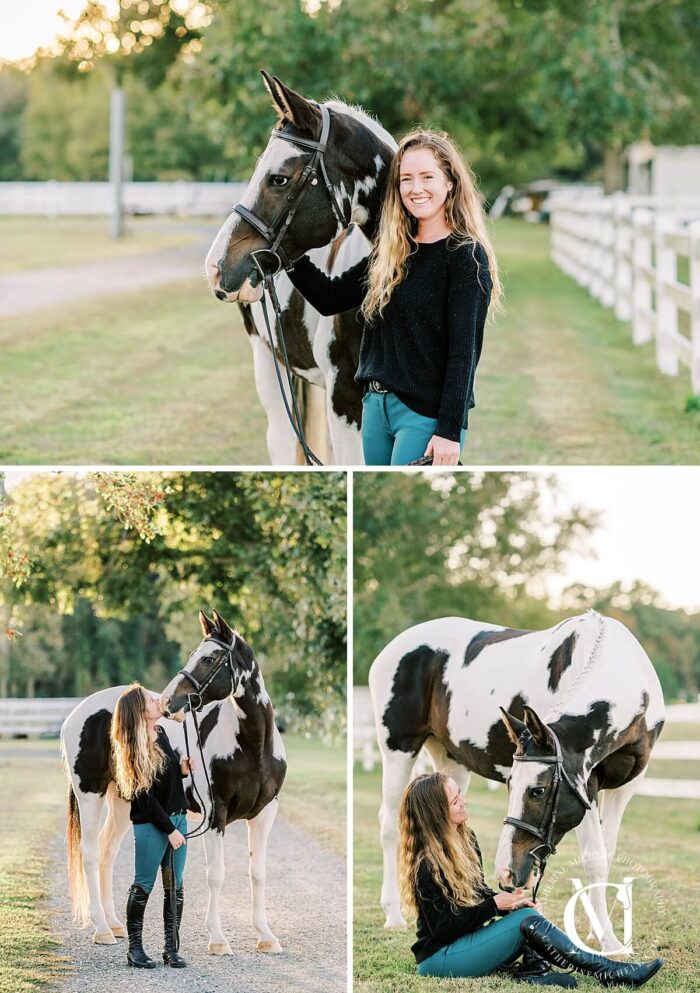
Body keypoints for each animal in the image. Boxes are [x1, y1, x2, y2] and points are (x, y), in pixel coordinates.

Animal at [60, 608, 287, 955]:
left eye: (209, 659)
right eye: (196, 654)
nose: (169, 702)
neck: (253, 746)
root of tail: (77, 713)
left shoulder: (264, 815)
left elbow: (258, 873)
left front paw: (266, 936)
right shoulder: (216, 816)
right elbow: (216, 875)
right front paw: (218, 939)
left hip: (121, 801)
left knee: (107, 851)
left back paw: (115, 924)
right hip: (90, 794)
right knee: (90, 852)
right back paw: (101, 930)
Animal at [368, 610, 665, 955]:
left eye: (538, 790)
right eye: (510, 785)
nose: (505, 873)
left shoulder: (624, 788)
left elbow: (607, 852)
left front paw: (597, 932)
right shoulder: (585, 786)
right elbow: (594, 859)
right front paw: (611, 943)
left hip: (449, 760)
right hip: (398, 749)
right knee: (390, 825)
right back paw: (393, 914)